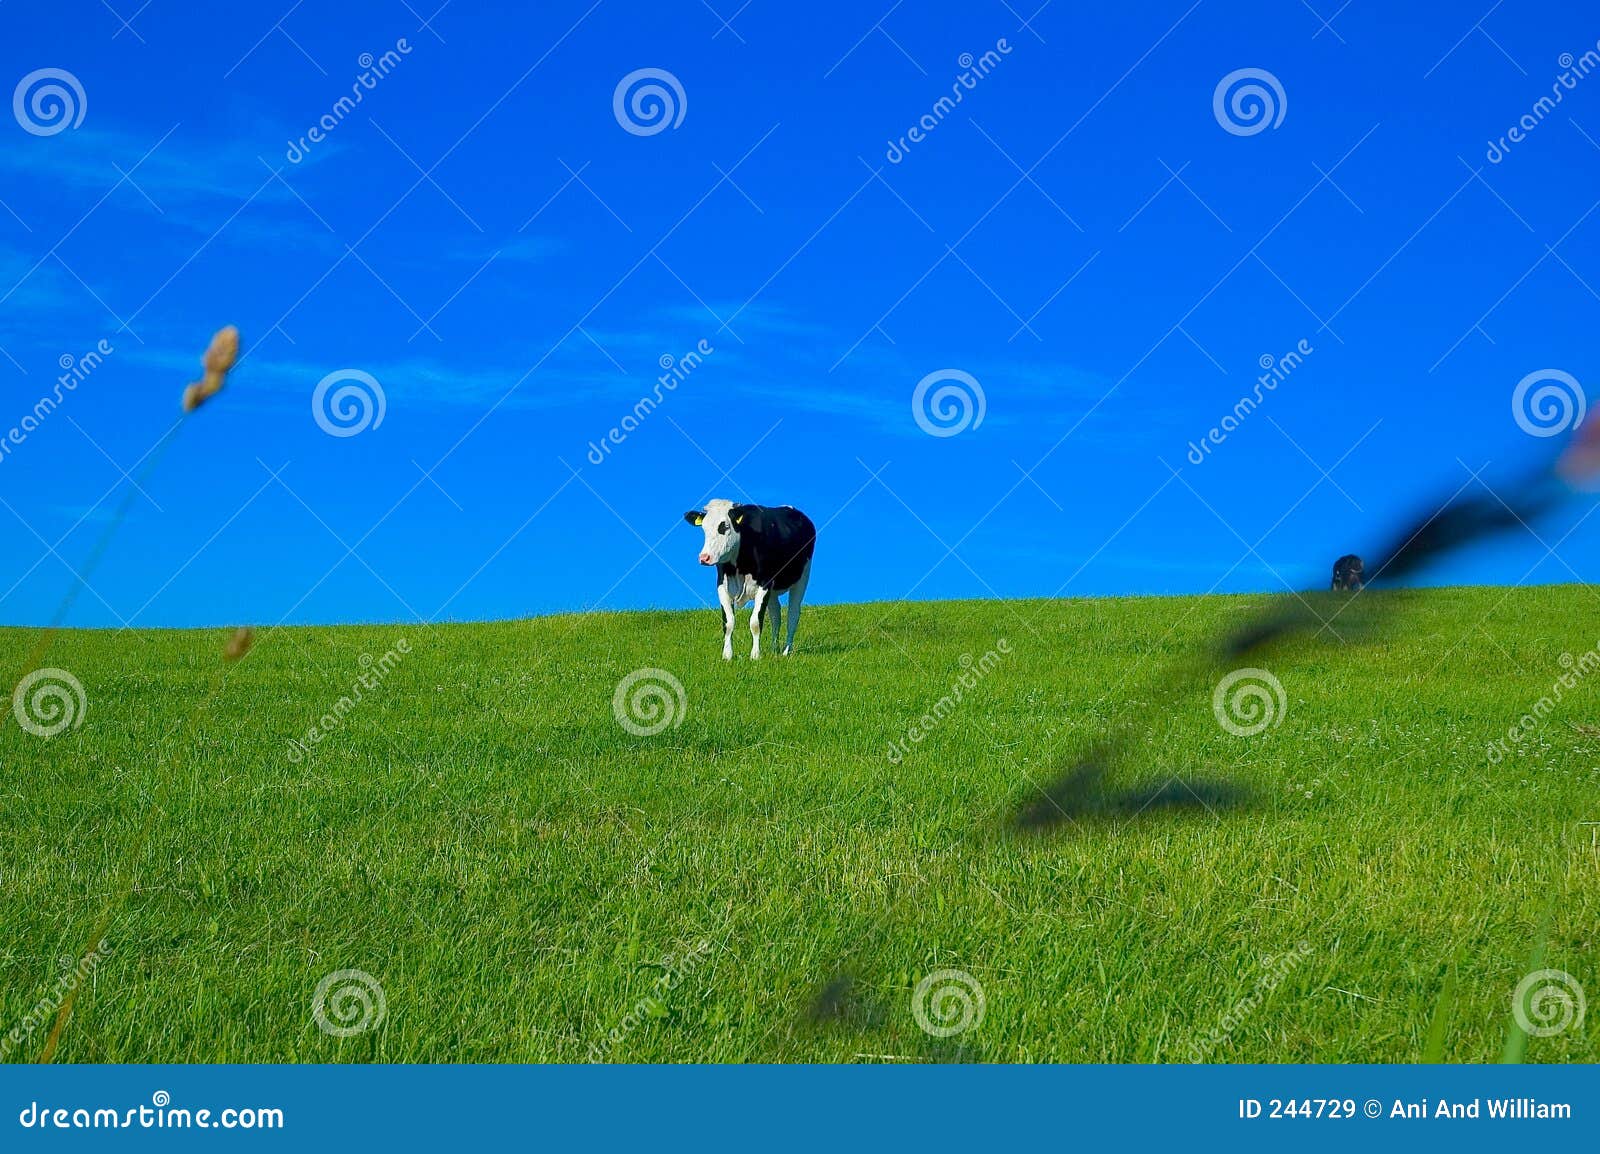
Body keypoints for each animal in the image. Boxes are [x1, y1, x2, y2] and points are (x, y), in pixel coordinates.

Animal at [683, 500, 815, 660]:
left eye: (725, 526)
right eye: (704, 528)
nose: (704, 557)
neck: (739, 566)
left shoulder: (764, 583)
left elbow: (755, 622)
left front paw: (755, 655)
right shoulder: (722, 585)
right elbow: (728, 622)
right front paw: (727, 656)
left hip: (803, 576)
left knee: (793, 614)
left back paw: (786, 651)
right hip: (773, 589)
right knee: (775, 615)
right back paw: (774, 649)